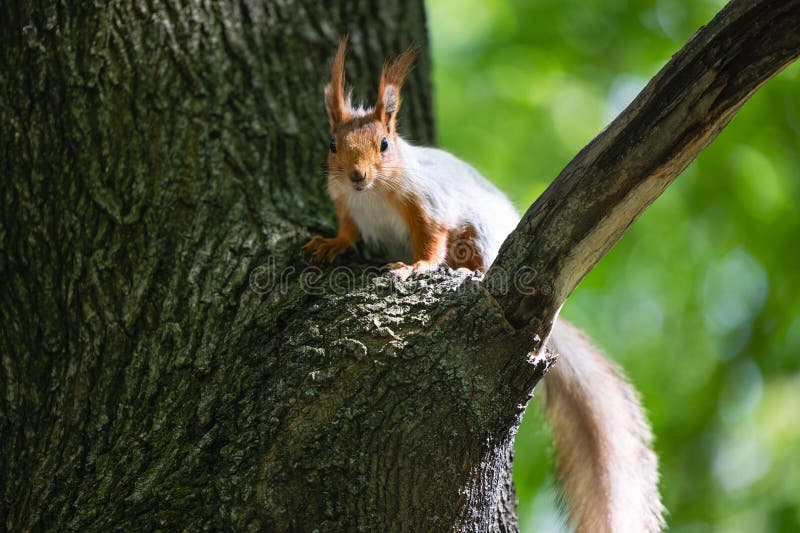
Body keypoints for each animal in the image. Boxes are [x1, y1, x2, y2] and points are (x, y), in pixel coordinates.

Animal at [305, 38, 666, 533]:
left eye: (384, 143)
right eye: (330, 144)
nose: (357, 176)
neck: (372, 194)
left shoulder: (428, 205)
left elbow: (431, 239)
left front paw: (414, 268)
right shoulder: (346, 204)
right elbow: (347, 231)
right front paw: (329, 244)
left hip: (479, 232)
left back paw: (468, 273)